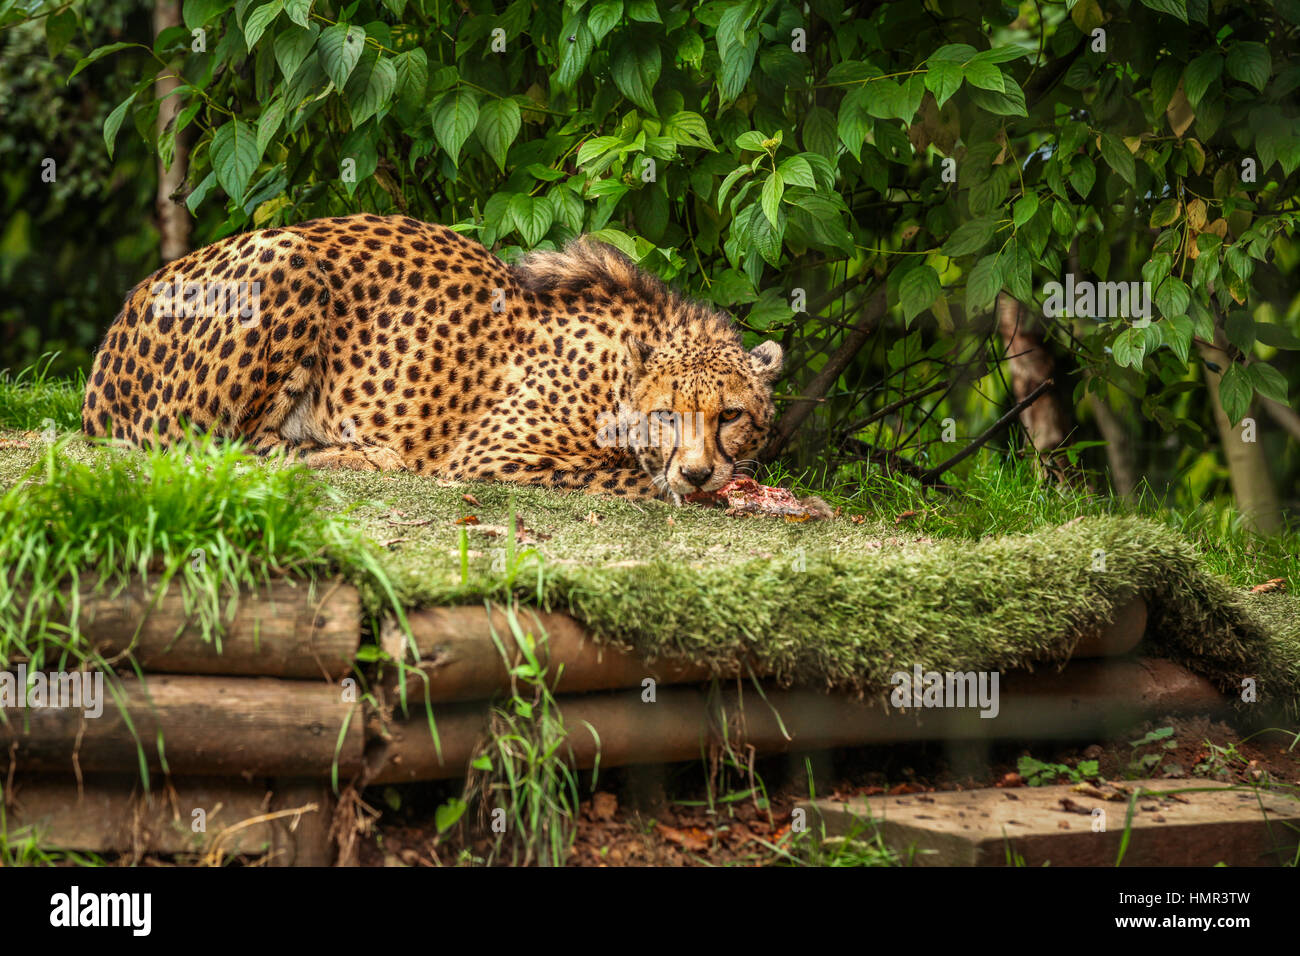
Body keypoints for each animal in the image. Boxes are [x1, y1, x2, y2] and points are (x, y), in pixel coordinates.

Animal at [81, 214, 788, 502]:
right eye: (667, 415)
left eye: (729, 416)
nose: (698, 471)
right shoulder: (493, 456)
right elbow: (631, 477)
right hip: (284, 251)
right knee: (215, 445)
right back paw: (368, 454)